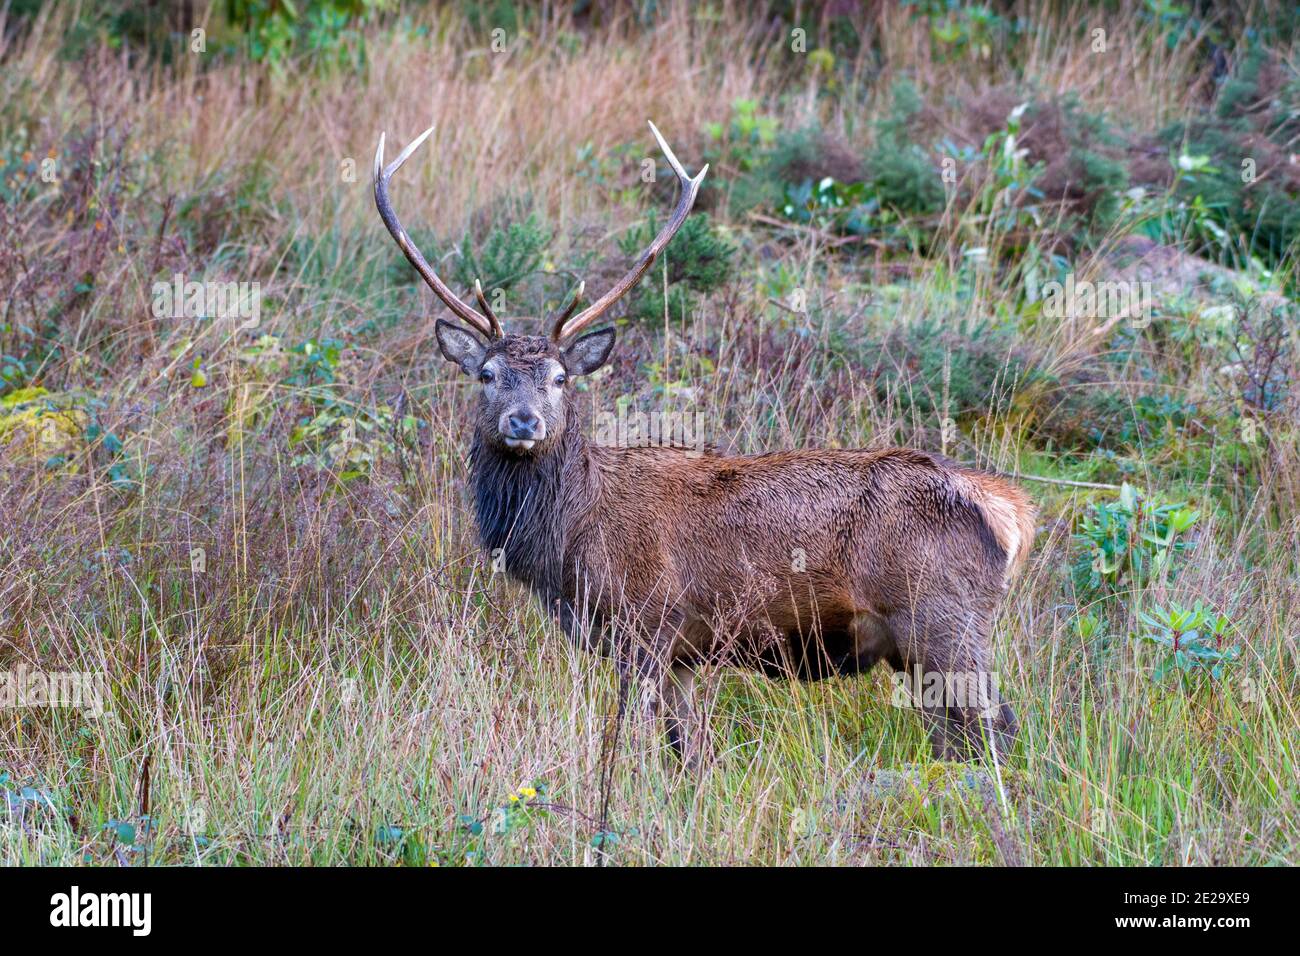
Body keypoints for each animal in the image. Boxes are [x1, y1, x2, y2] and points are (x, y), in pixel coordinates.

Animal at [374, 122, 1036, 766]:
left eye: (560, 378)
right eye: (486, 374)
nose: (523, 421)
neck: (569, 534)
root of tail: (1011, 513)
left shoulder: (647, 626)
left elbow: (635, 741)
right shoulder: (684, 655)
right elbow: (689, 749)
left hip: (942, 619)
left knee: (997, 728)